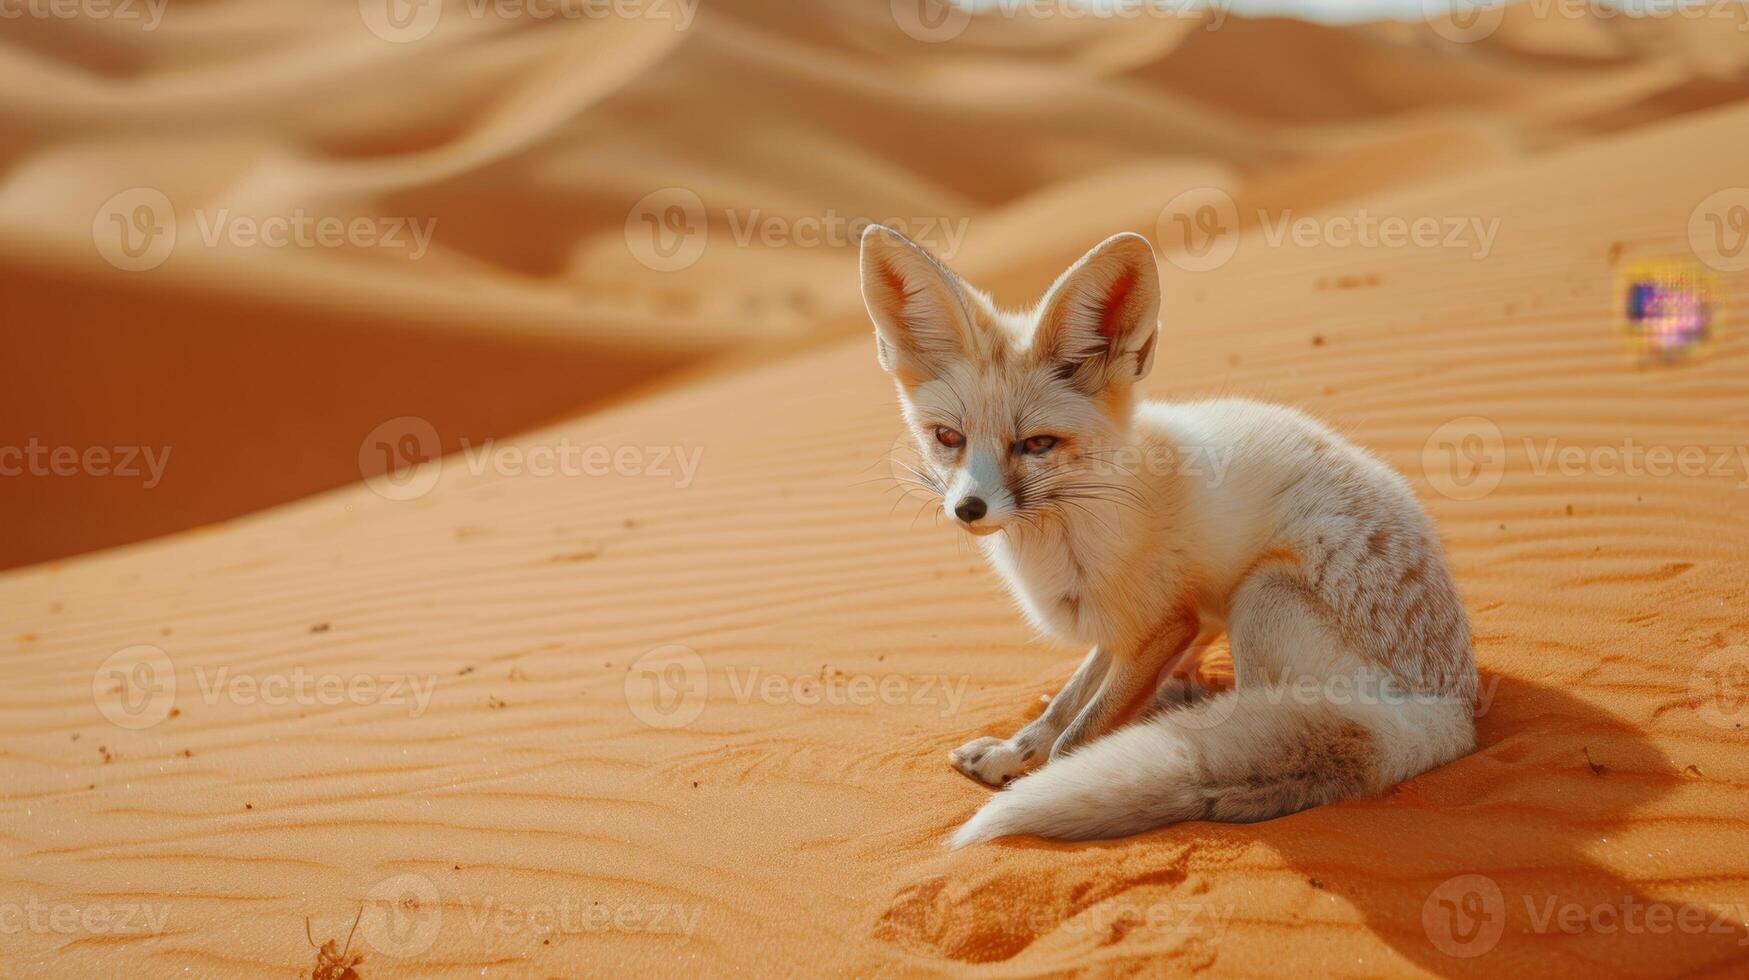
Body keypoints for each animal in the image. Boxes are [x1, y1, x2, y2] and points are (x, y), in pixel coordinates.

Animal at [860, 225, 1477, 847]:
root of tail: (1454, 714)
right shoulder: (1122, 627)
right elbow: (1063, 709)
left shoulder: (1168, 622)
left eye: (1036, 444)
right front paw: (1011, 755)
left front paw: (1048, 777)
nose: (968, 508)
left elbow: (1076, 736)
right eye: (948, 437)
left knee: (1260, 715)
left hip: (1259, 597)